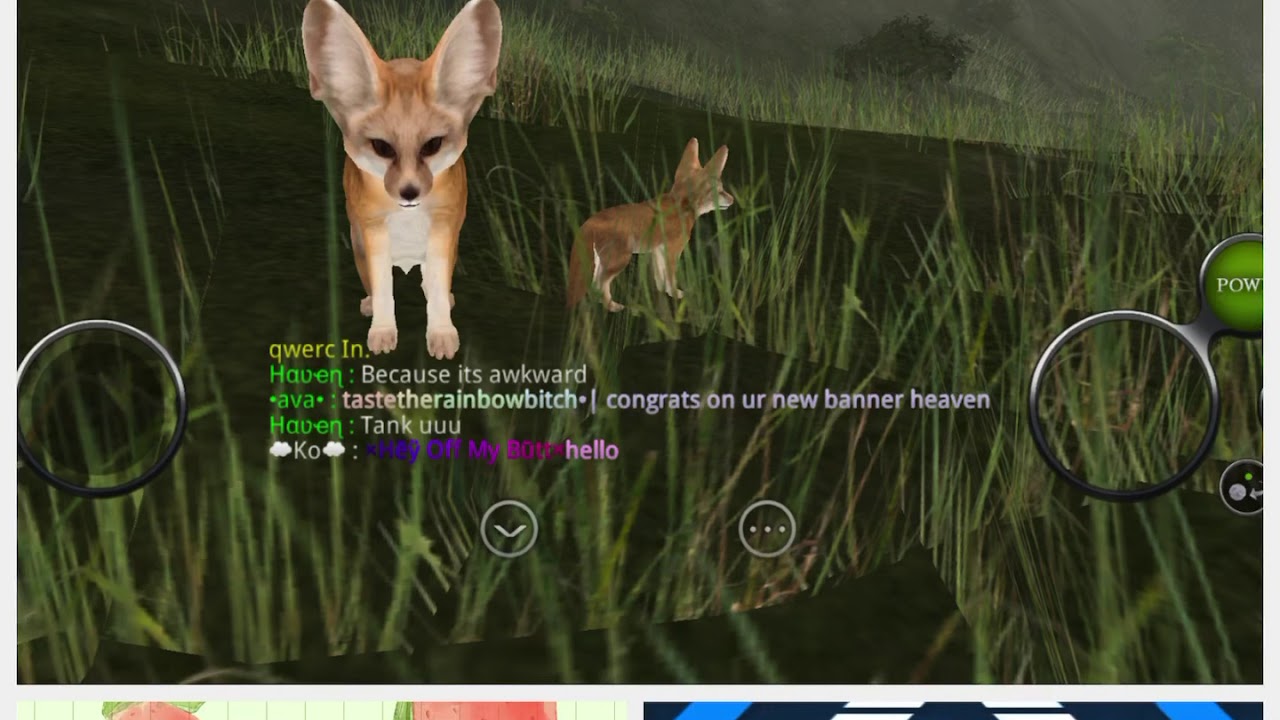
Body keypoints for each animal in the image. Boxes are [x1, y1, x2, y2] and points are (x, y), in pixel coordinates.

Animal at [301, 0, 502, 359]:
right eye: (382, 147)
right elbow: (384, 289)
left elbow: (437, 288)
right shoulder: (373, 232)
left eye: (432, 145)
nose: (409, 191)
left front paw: (441, 333)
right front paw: (382, 331)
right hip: (358, 241)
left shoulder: (444, 229)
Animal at [566, 138, 734, 311]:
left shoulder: (658, 251)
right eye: (721, 191)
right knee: (600, 284)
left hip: (603, 262)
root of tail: (590, 221)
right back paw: (613, 307)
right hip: (618, 262)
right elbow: (671, 277)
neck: (679, 204)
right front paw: (675, 294)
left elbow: (660, 279)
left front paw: (663, 293)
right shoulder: (672, 252)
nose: (733, 199)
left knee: (594, 284)